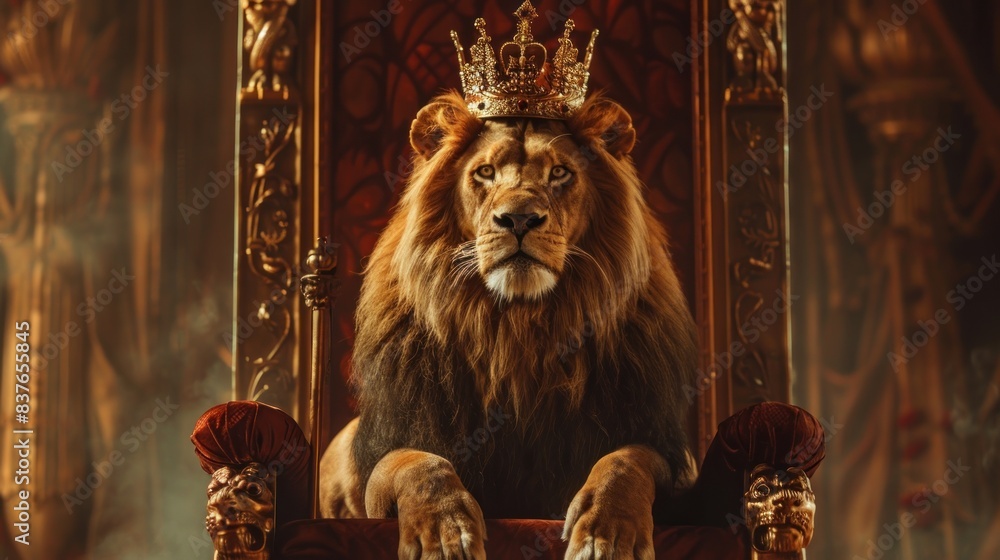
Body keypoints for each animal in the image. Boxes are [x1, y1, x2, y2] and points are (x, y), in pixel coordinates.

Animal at [319, 91, 698, 560]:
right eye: (485, 172)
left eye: (560, 172)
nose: (518, 219)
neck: (517, 332)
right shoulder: (388, 453)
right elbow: (415, 462)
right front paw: (445, 531)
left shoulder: (671, 460)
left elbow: (627, 460)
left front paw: (605, 535)